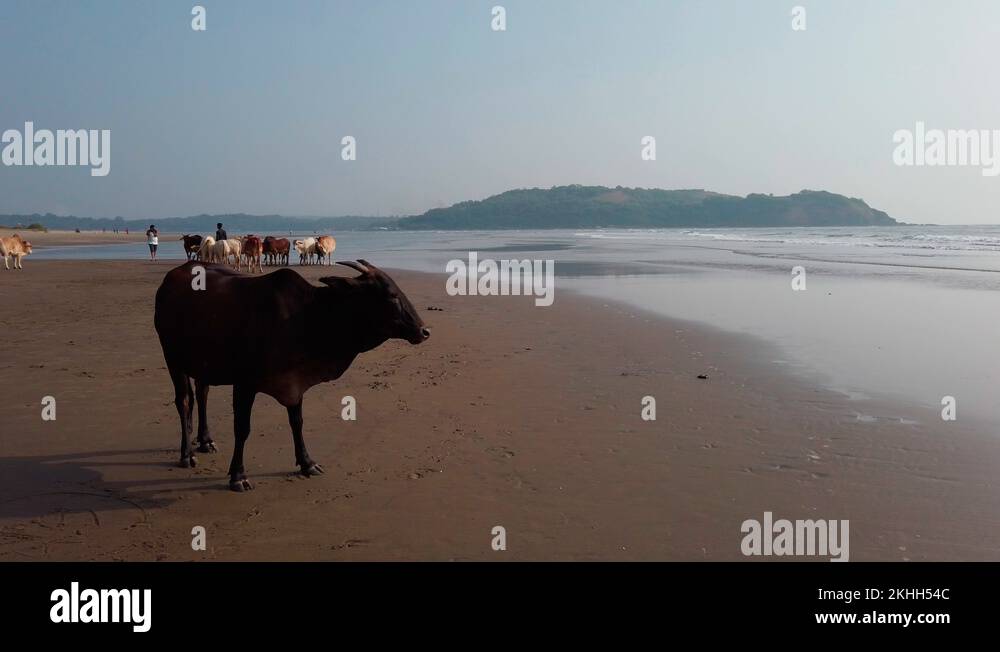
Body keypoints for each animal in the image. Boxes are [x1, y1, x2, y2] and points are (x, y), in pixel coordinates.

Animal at [154, 259, 430, 491]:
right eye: (391, 296)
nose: (424, 331)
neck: (308, 318)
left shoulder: (295, 383)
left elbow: (297, 422)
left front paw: (307, 463)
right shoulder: (244, 384)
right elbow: (242, 428)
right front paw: (238, 475)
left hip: (201, 363)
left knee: (203, 393)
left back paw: (205, 441)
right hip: (172, 358)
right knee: (184, 401)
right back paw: (187, 453)